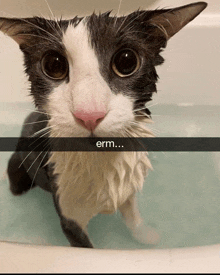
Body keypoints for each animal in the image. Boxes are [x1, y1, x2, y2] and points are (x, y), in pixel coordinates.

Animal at [0, 1, 206, 248]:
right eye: (53, 65)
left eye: (127, 61)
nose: (89, 114)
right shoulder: (69, 216)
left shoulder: (127, 186)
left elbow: (132, 214)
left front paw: (144, 234)